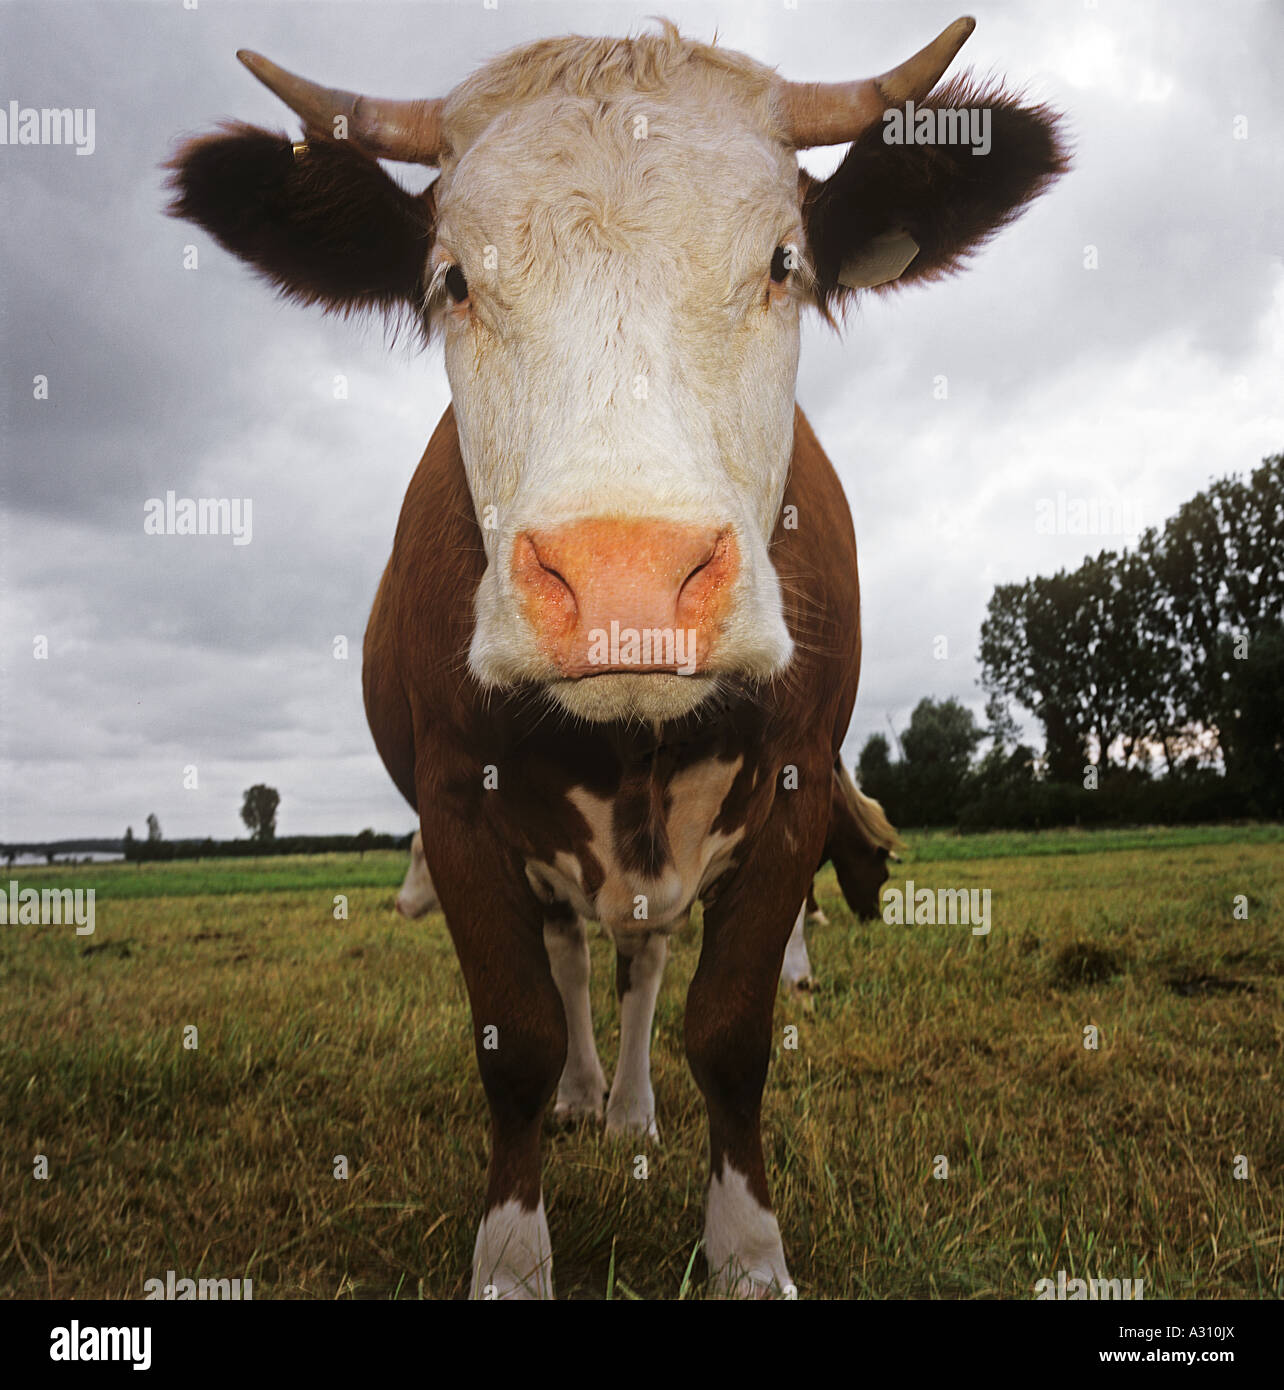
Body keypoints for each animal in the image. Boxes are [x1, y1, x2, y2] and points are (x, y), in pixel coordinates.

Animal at [168, 15, 1065, 1297]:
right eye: (452, 279)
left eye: (785, 262)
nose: (627, 580)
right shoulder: (457, 802)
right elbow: (518, 1036)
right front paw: (510, 1255)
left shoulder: (797, 782)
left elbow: (730, 1031)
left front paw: (747, 1251)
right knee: (577, 965)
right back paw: (590, 1098)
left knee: (638, 961)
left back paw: (632, 1105)